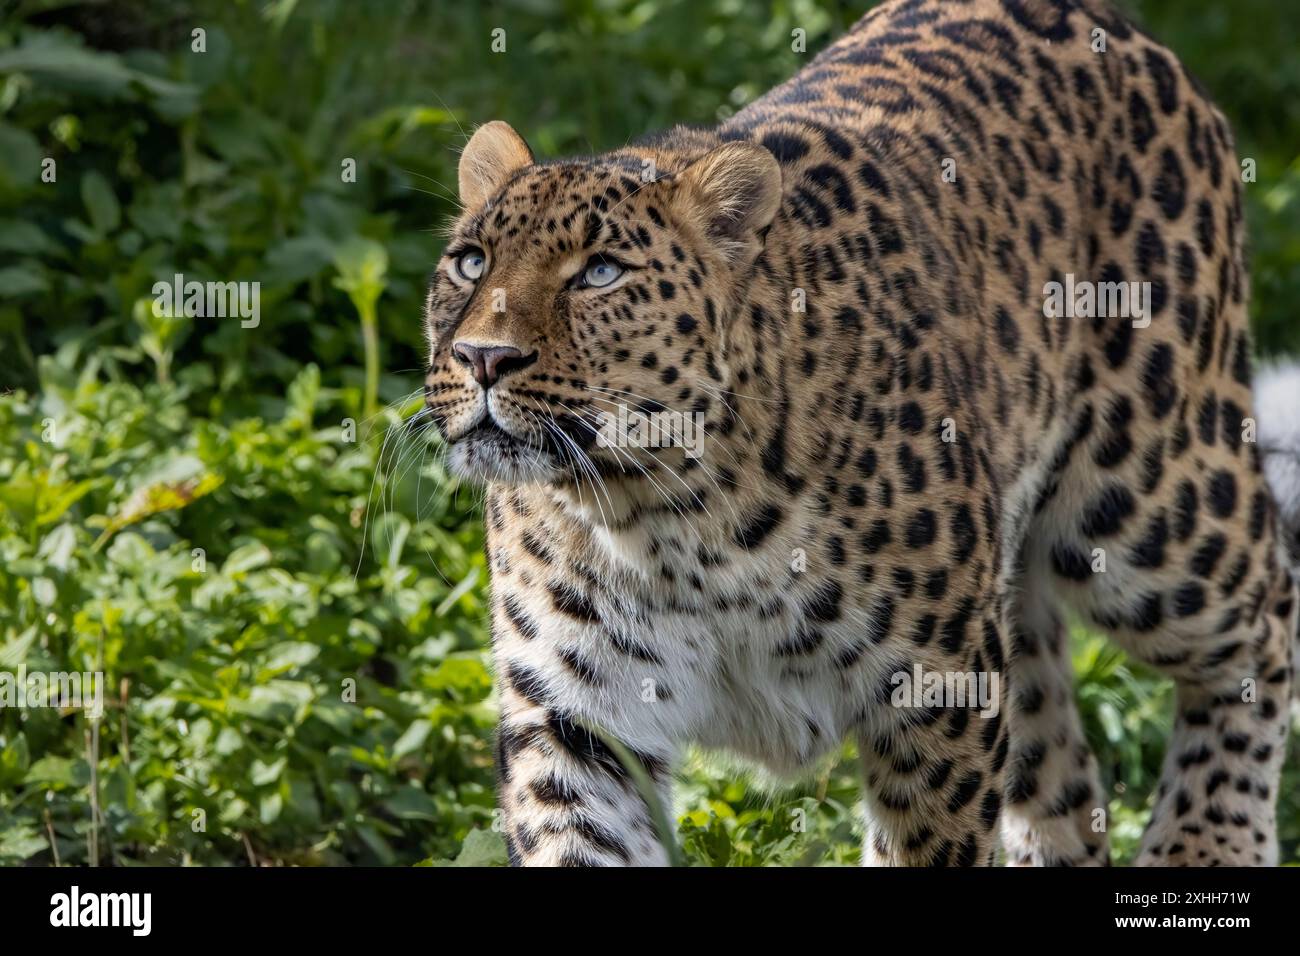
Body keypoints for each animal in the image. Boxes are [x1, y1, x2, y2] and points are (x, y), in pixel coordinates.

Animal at [421, 0, 1300, 866]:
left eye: (600, 273)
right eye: (471, 262)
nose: (483, 357)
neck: (658, 515)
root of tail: (1115, 22)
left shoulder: (937, 689)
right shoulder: (577, 719)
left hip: (1145, 500)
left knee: (1266, 607)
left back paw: (1206, 842)